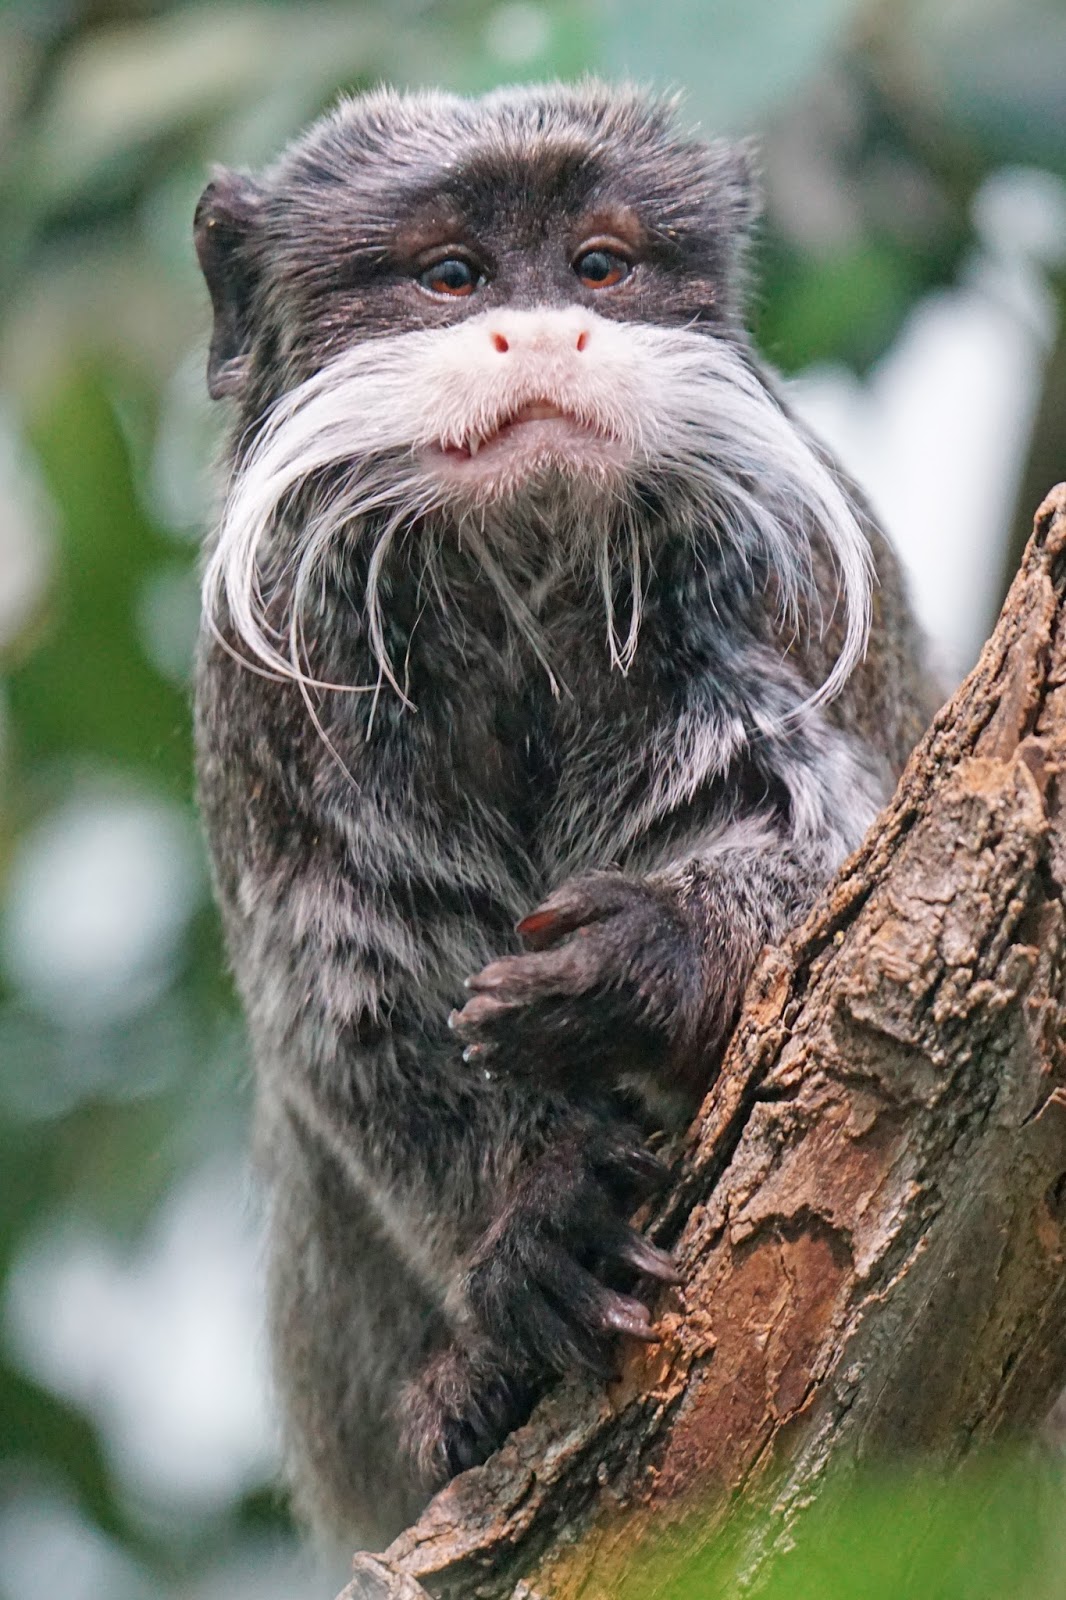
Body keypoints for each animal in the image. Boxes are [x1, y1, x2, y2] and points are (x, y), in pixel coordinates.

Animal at [192, 81, 933, 1551]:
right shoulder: (265, 717)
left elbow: (843, 892)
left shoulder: (788, 602)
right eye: (452, 276)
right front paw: (528, 1239)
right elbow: (357, 1034)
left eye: (599, 267)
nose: (543, 330)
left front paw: (642, 968)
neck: (519, 598)